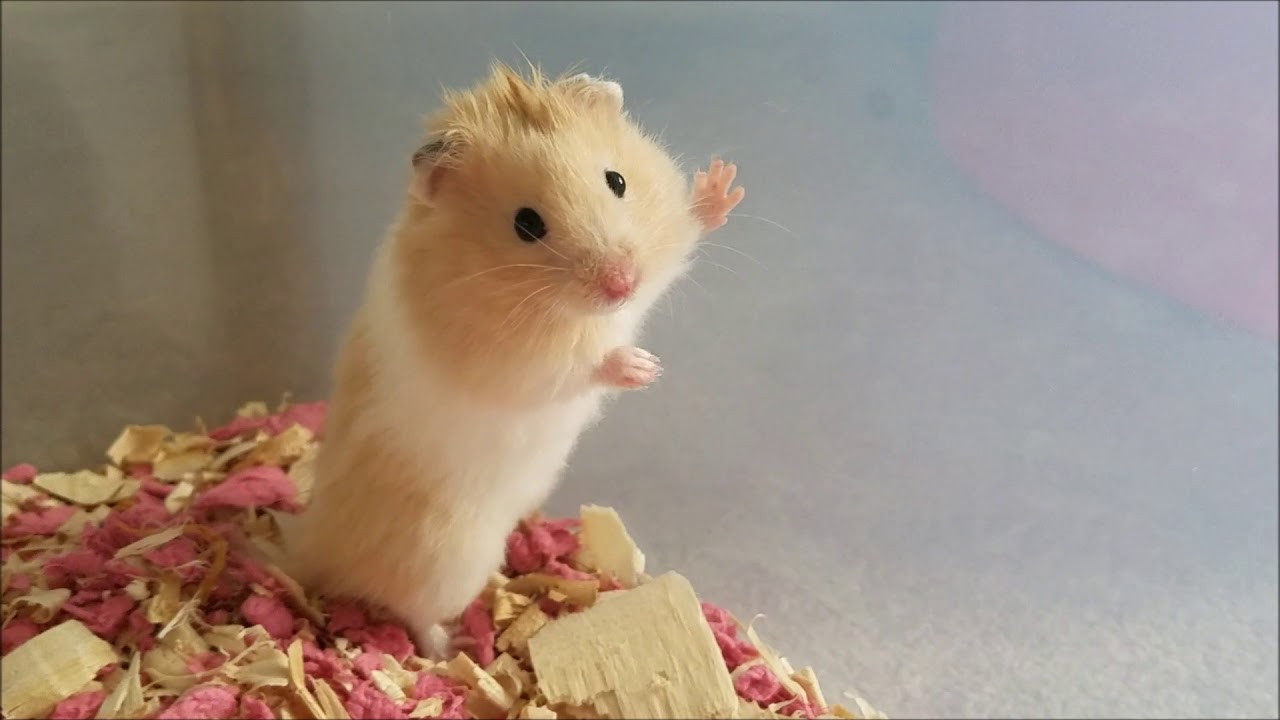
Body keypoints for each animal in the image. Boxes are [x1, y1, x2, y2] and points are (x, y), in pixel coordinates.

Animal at [279, 62, 745, 657]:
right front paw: (643, 367)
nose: (622, 284)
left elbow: (683, 238)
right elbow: (573, 367)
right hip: (444, 562)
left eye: (617, 181)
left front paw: (719, 186)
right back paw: (452, 649)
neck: (575, 311)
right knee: (411, 611)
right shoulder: (509, 363)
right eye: (526, 224)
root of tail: (310, 547)